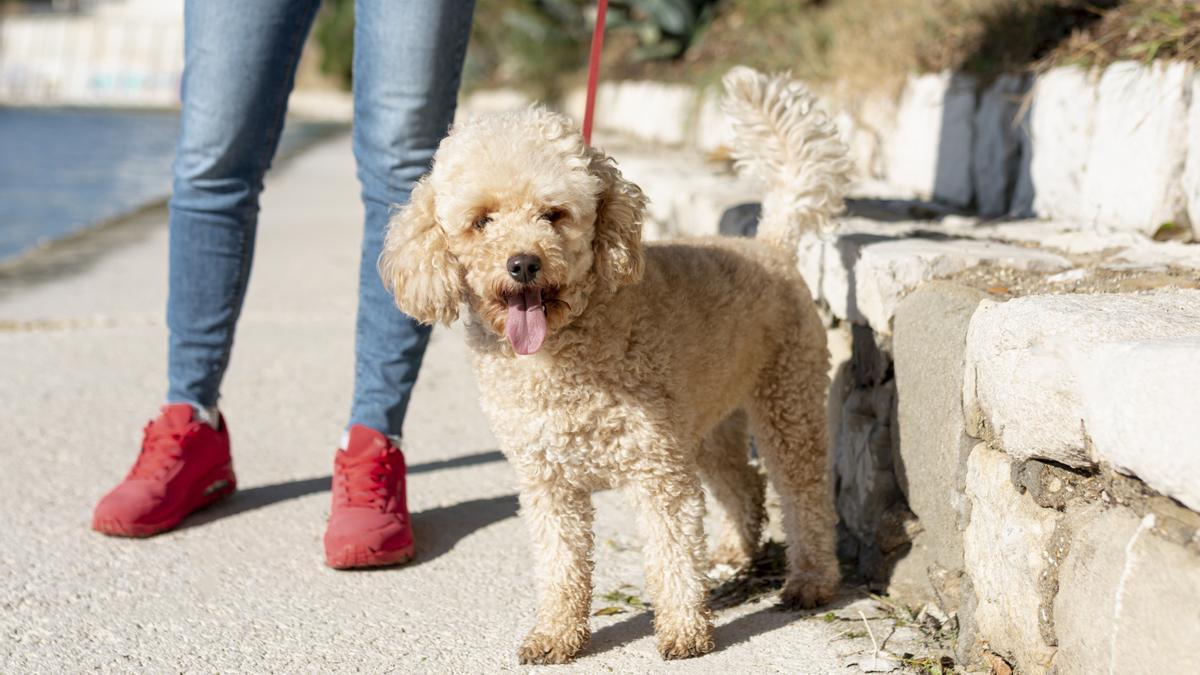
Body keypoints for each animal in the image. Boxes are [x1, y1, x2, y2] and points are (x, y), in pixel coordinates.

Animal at [379, 68, 849, 662]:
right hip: (710, 425)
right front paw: (557, 635)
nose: (523, 263)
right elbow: (560, 564)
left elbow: (672, 554)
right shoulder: (548, 481)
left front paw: (684, 630)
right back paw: (734, 552)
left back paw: (811, 580)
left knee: (805, 494)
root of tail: (773, 245)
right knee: (745, 485)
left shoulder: (657, 470)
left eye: (554, 214)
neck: (564, 352)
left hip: (788, 403)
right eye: (481, 221)